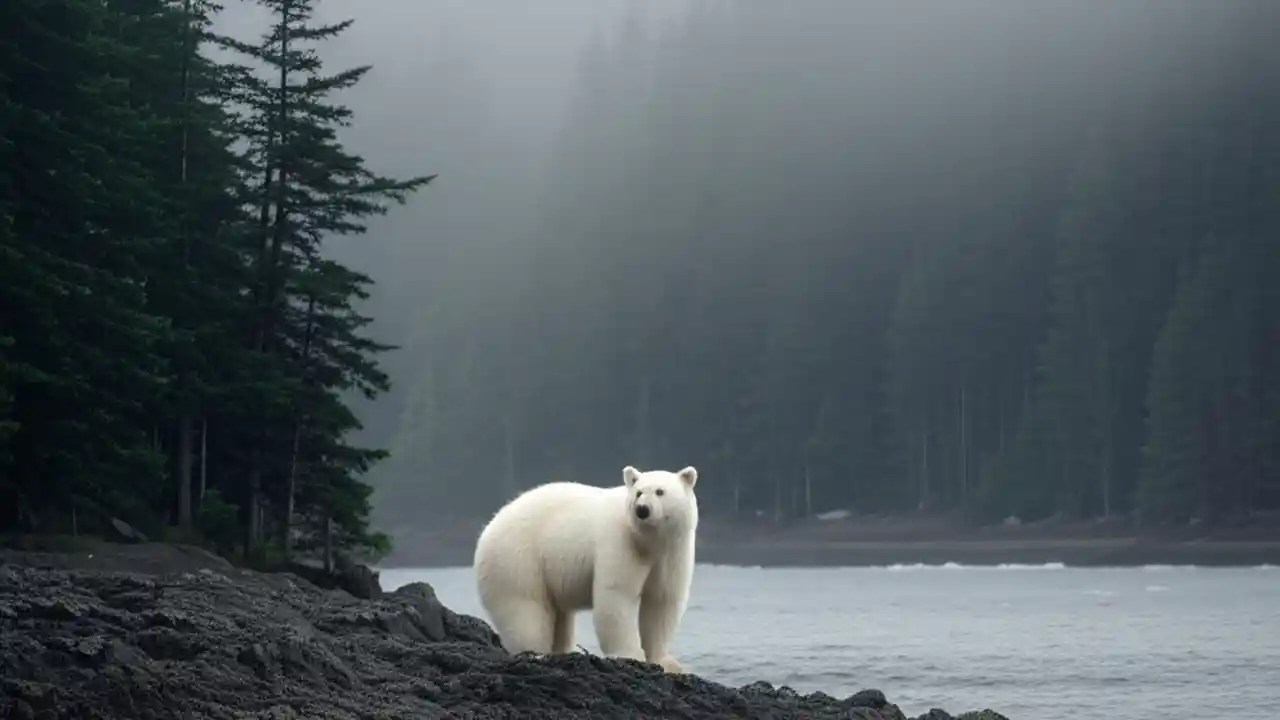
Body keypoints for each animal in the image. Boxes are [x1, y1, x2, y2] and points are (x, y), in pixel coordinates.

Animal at [472, 465, 699, 674]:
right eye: (639, 492)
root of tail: (487, 530)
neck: (648, 541)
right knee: (527, 614)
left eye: (660, 491)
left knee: (559, 618)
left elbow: (662, 601)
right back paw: (535, 653)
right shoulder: (621, 542)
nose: (642, 509)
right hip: (518, 561)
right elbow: (617, 596)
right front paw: (631, 656)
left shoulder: (672, 553)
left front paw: (666, 661)